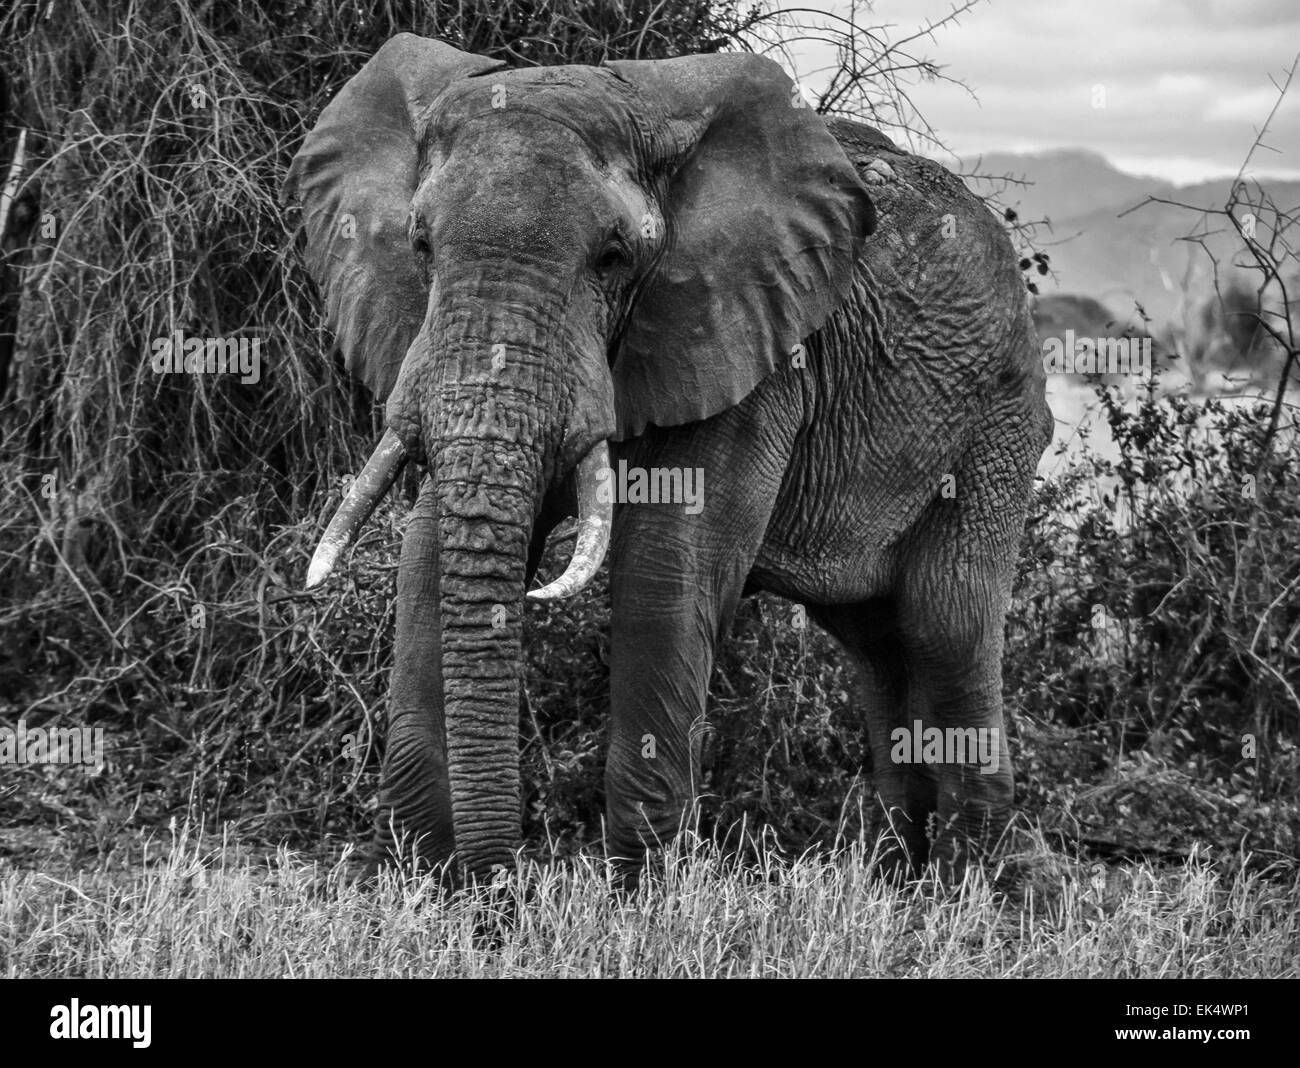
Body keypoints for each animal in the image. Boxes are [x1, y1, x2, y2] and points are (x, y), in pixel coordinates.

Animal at [284, 33, 1053, 883]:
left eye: (613, 257)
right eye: (420, 246)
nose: (505, 883)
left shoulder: (752, 344)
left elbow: (665, 573)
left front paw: (639, 892)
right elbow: (426, 557)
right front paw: (417, 876)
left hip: (997, 423)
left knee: (944, 626)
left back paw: (969, 887)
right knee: (878, 645)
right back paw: (897, 878)